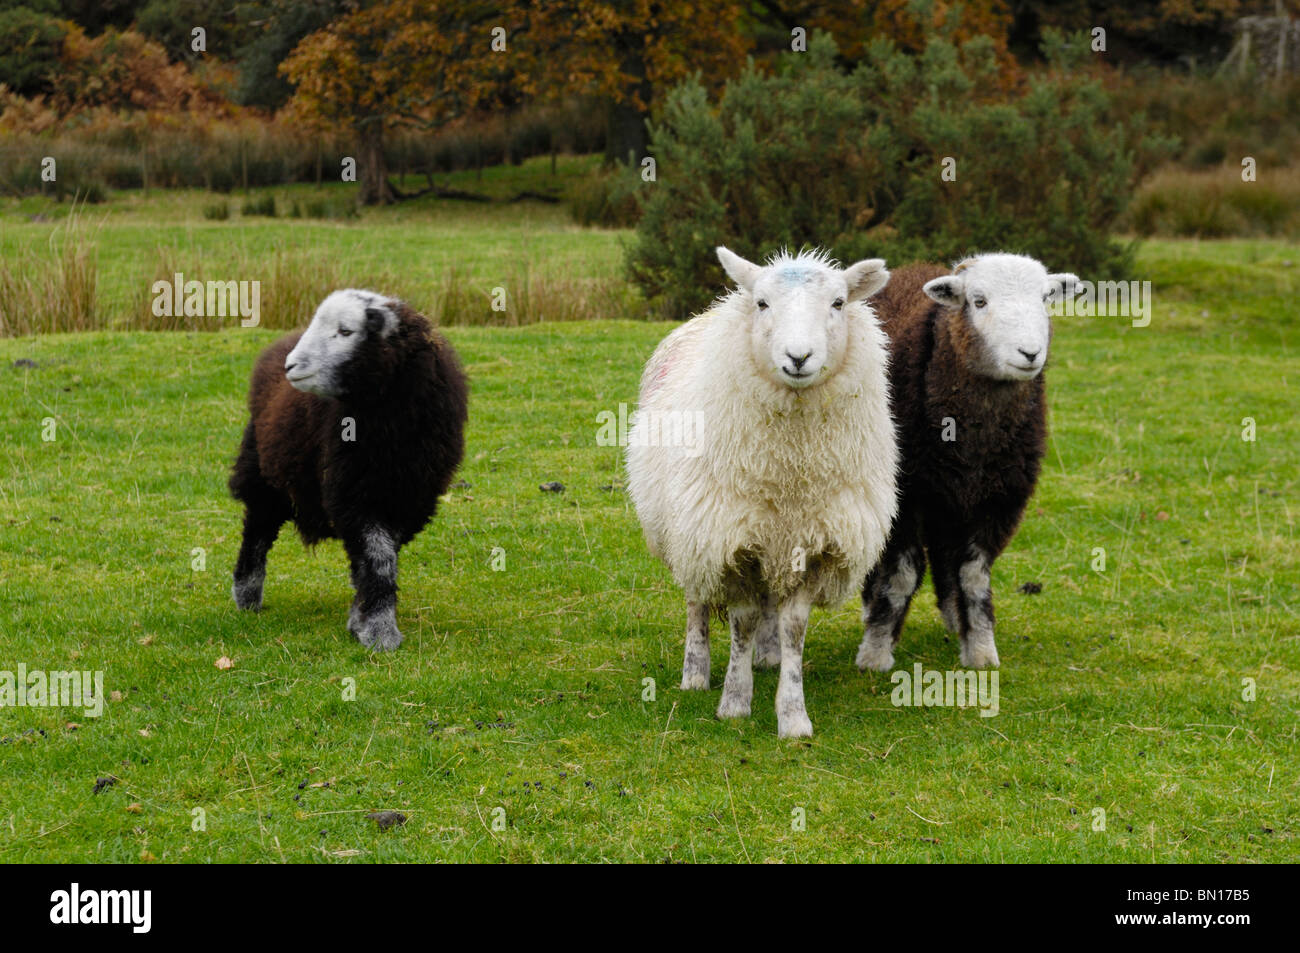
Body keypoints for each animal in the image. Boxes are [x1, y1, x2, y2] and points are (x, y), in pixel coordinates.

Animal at [228, 289, 468, 651]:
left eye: (345, 331)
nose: (291, 367)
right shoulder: (352, 491)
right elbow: (378, 559)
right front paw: (380, 632)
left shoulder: (410, 497)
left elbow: (377, 558)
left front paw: (361, 617)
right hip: (263, 476)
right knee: (257, 533)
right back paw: (247, 597)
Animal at [627, 247, 898, 738]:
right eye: (762, 303)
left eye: (838, 303)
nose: (799, 356)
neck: (790, 474)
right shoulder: (730, 541)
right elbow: (743, 622)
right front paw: (735, 701)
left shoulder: (814, 545)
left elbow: (793, 628)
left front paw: (793, 715)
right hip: (688, 530)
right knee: (696, 602)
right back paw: (695, 672)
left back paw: (768, 658)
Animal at [856, 254, 1077, 673]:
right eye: (978, 301)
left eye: (1046, 298)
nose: (1029, 353)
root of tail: (916, 267)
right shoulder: (907, 497)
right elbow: (902, 575)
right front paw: (875, 651)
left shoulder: (1000, 500)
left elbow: (972, 575)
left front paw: (980, 648)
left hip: (952, 502)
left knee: (947, 561)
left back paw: (954, 617)